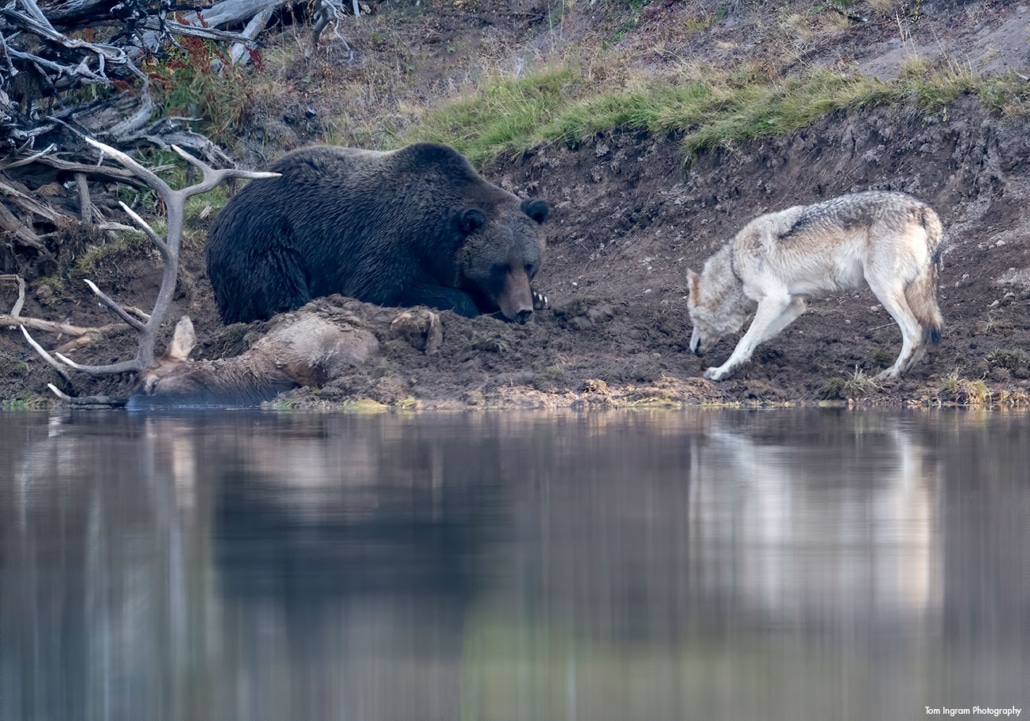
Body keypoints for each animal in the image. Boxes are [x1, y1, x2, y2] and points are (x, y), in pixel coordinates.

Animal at [686, 190, 945, 381]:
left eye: (693, 319)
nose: (692, 349)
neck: (734, 267)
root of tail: (924, 210)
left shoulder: (773, 300)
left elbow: (744, 340)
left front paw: (721, 371)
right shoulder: (793, 305)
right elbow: (756, 338)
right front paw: (736, 366)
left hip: (881, 288)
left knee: (914, 331)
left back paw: (893, 374)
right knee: (925, 333)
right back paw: (904, 372)